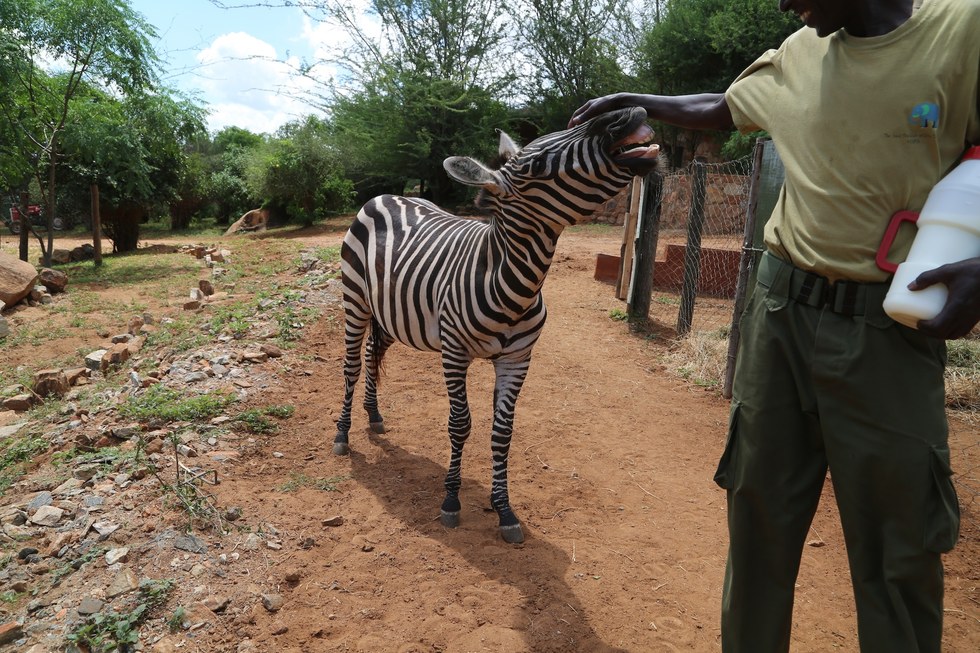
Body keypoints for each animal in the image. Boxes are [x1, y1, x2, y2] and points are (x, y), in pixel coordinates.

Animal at [332, 107, 660, 543]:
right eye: (537, 165)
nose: (629, 112)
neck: (511, 282)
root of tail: (385, 195)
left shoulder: (517, 359)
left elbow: (503, 432)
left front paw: (504, 508)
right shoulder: (454, 353)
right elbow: (460, 424)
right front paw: (451, 501)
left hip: (390, 311)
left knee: (373, 353)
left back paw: (373, 416)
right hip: (355, 298)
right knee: (352, 364)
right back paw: (342, 433)